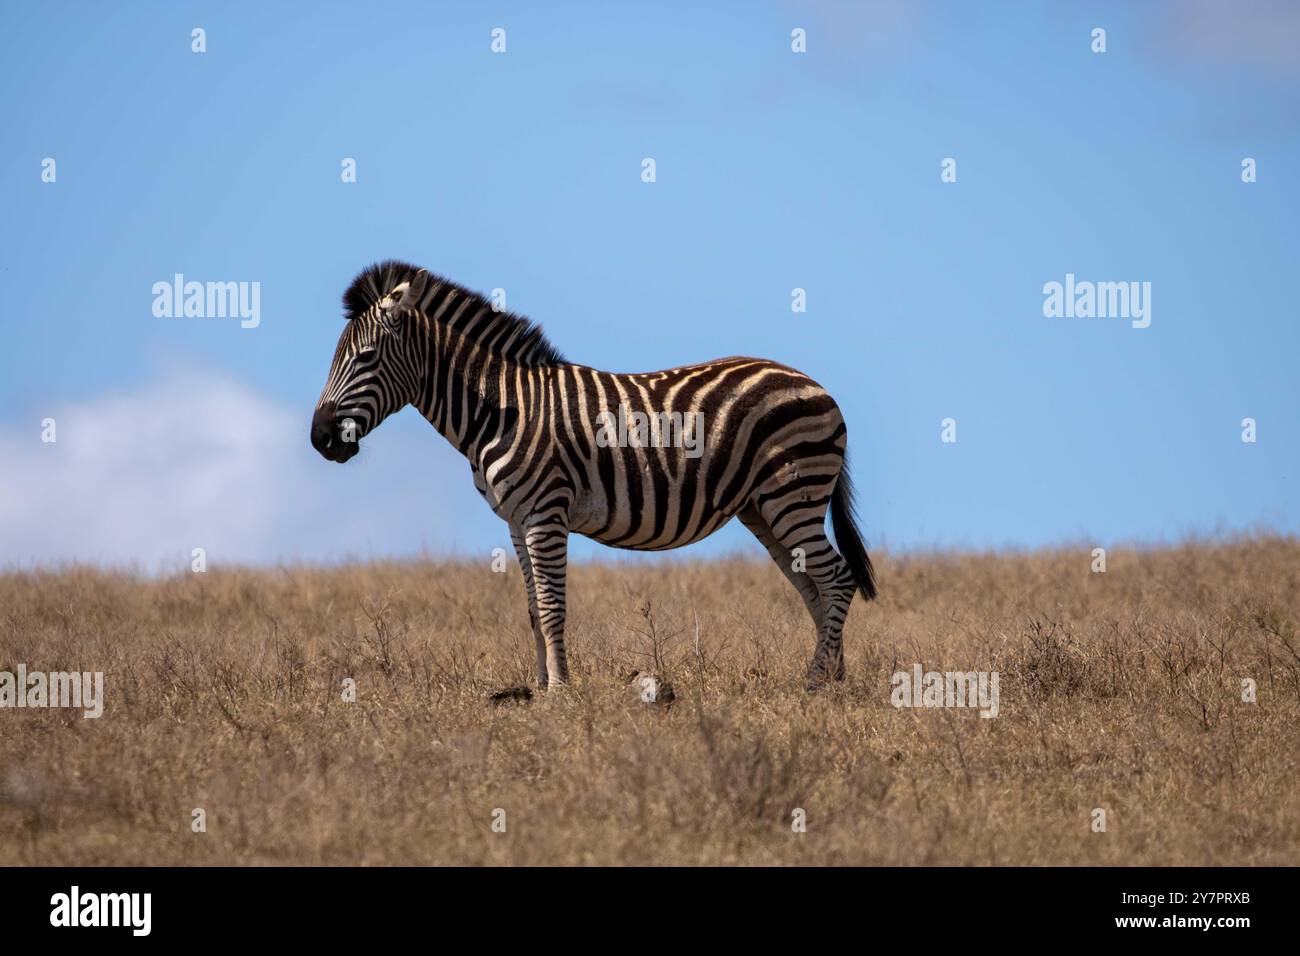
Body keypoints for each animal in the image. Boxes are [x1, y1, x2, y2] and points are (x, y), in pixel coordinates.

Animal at [311, 261, 877, 690]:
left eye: (365, 357)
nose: (320, 439)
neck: (500, 407)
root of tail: (817, 386)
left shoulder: (545, 513)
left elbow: (552, 605)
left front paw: (562, 690)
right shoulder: (515, 521)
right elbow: (532, 609)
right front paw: (541, 688)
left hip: (791, 493)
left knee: (837, 578)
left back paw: (816, 684)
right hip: (762, 506)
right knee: (813, 587)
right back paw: (833, 681)